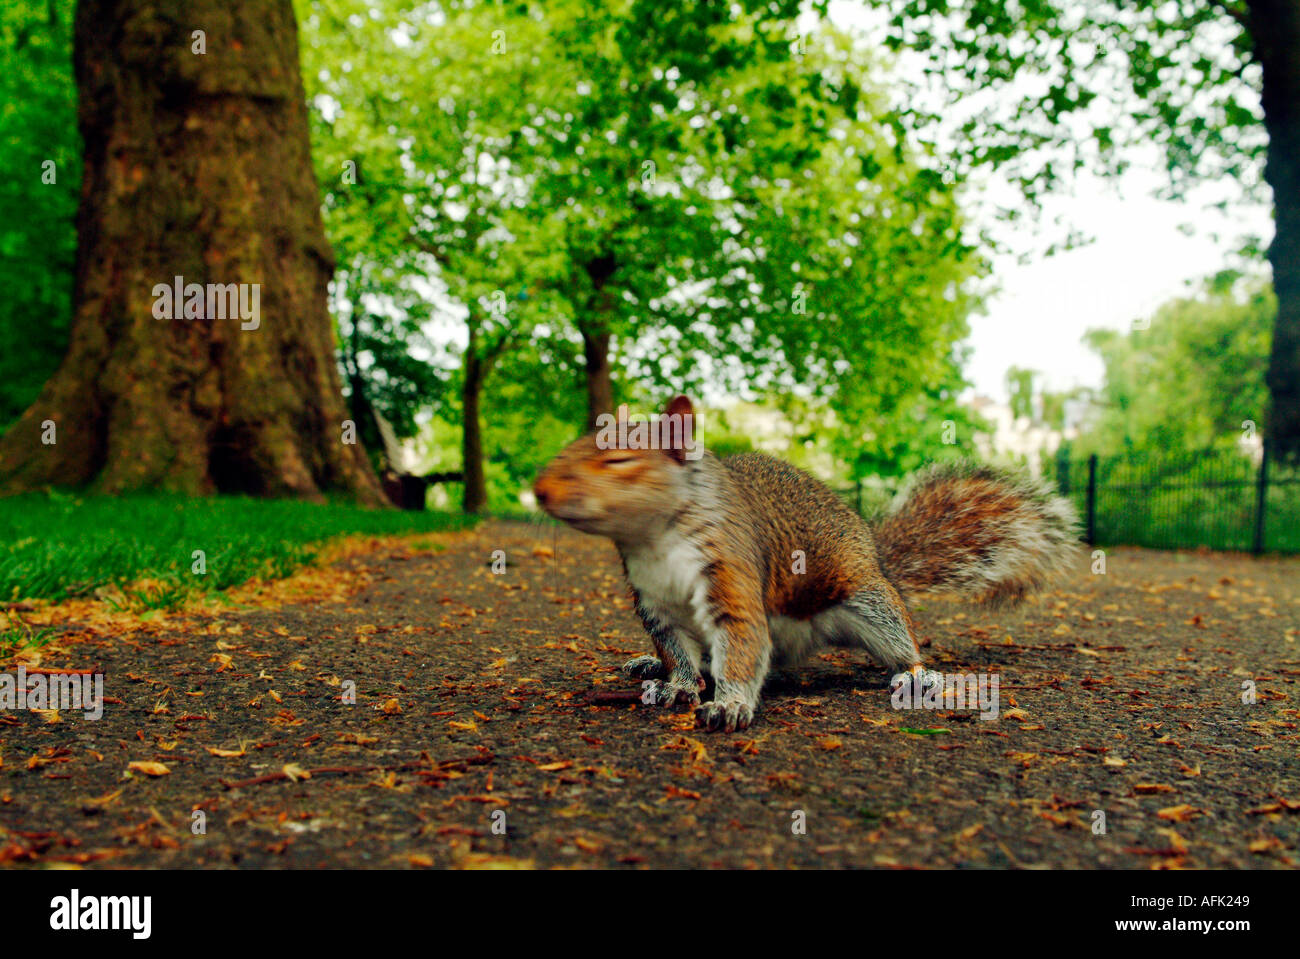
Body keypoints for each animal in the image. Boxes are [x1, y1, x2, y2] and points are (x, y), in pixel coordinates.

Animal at [533, 395, 1079, 733]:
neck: (655, 539)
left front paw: (729, 704)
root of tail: (876, 556)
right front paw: (678, 684)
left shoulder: (730, 572)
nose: (541, 489)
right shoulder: (655, 604)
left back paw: (918, 676)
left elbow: (741, 641)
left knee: (903, 644)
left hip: (869, 604)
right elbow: (678, 653)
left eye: (620, 462)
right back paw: (650, 665)